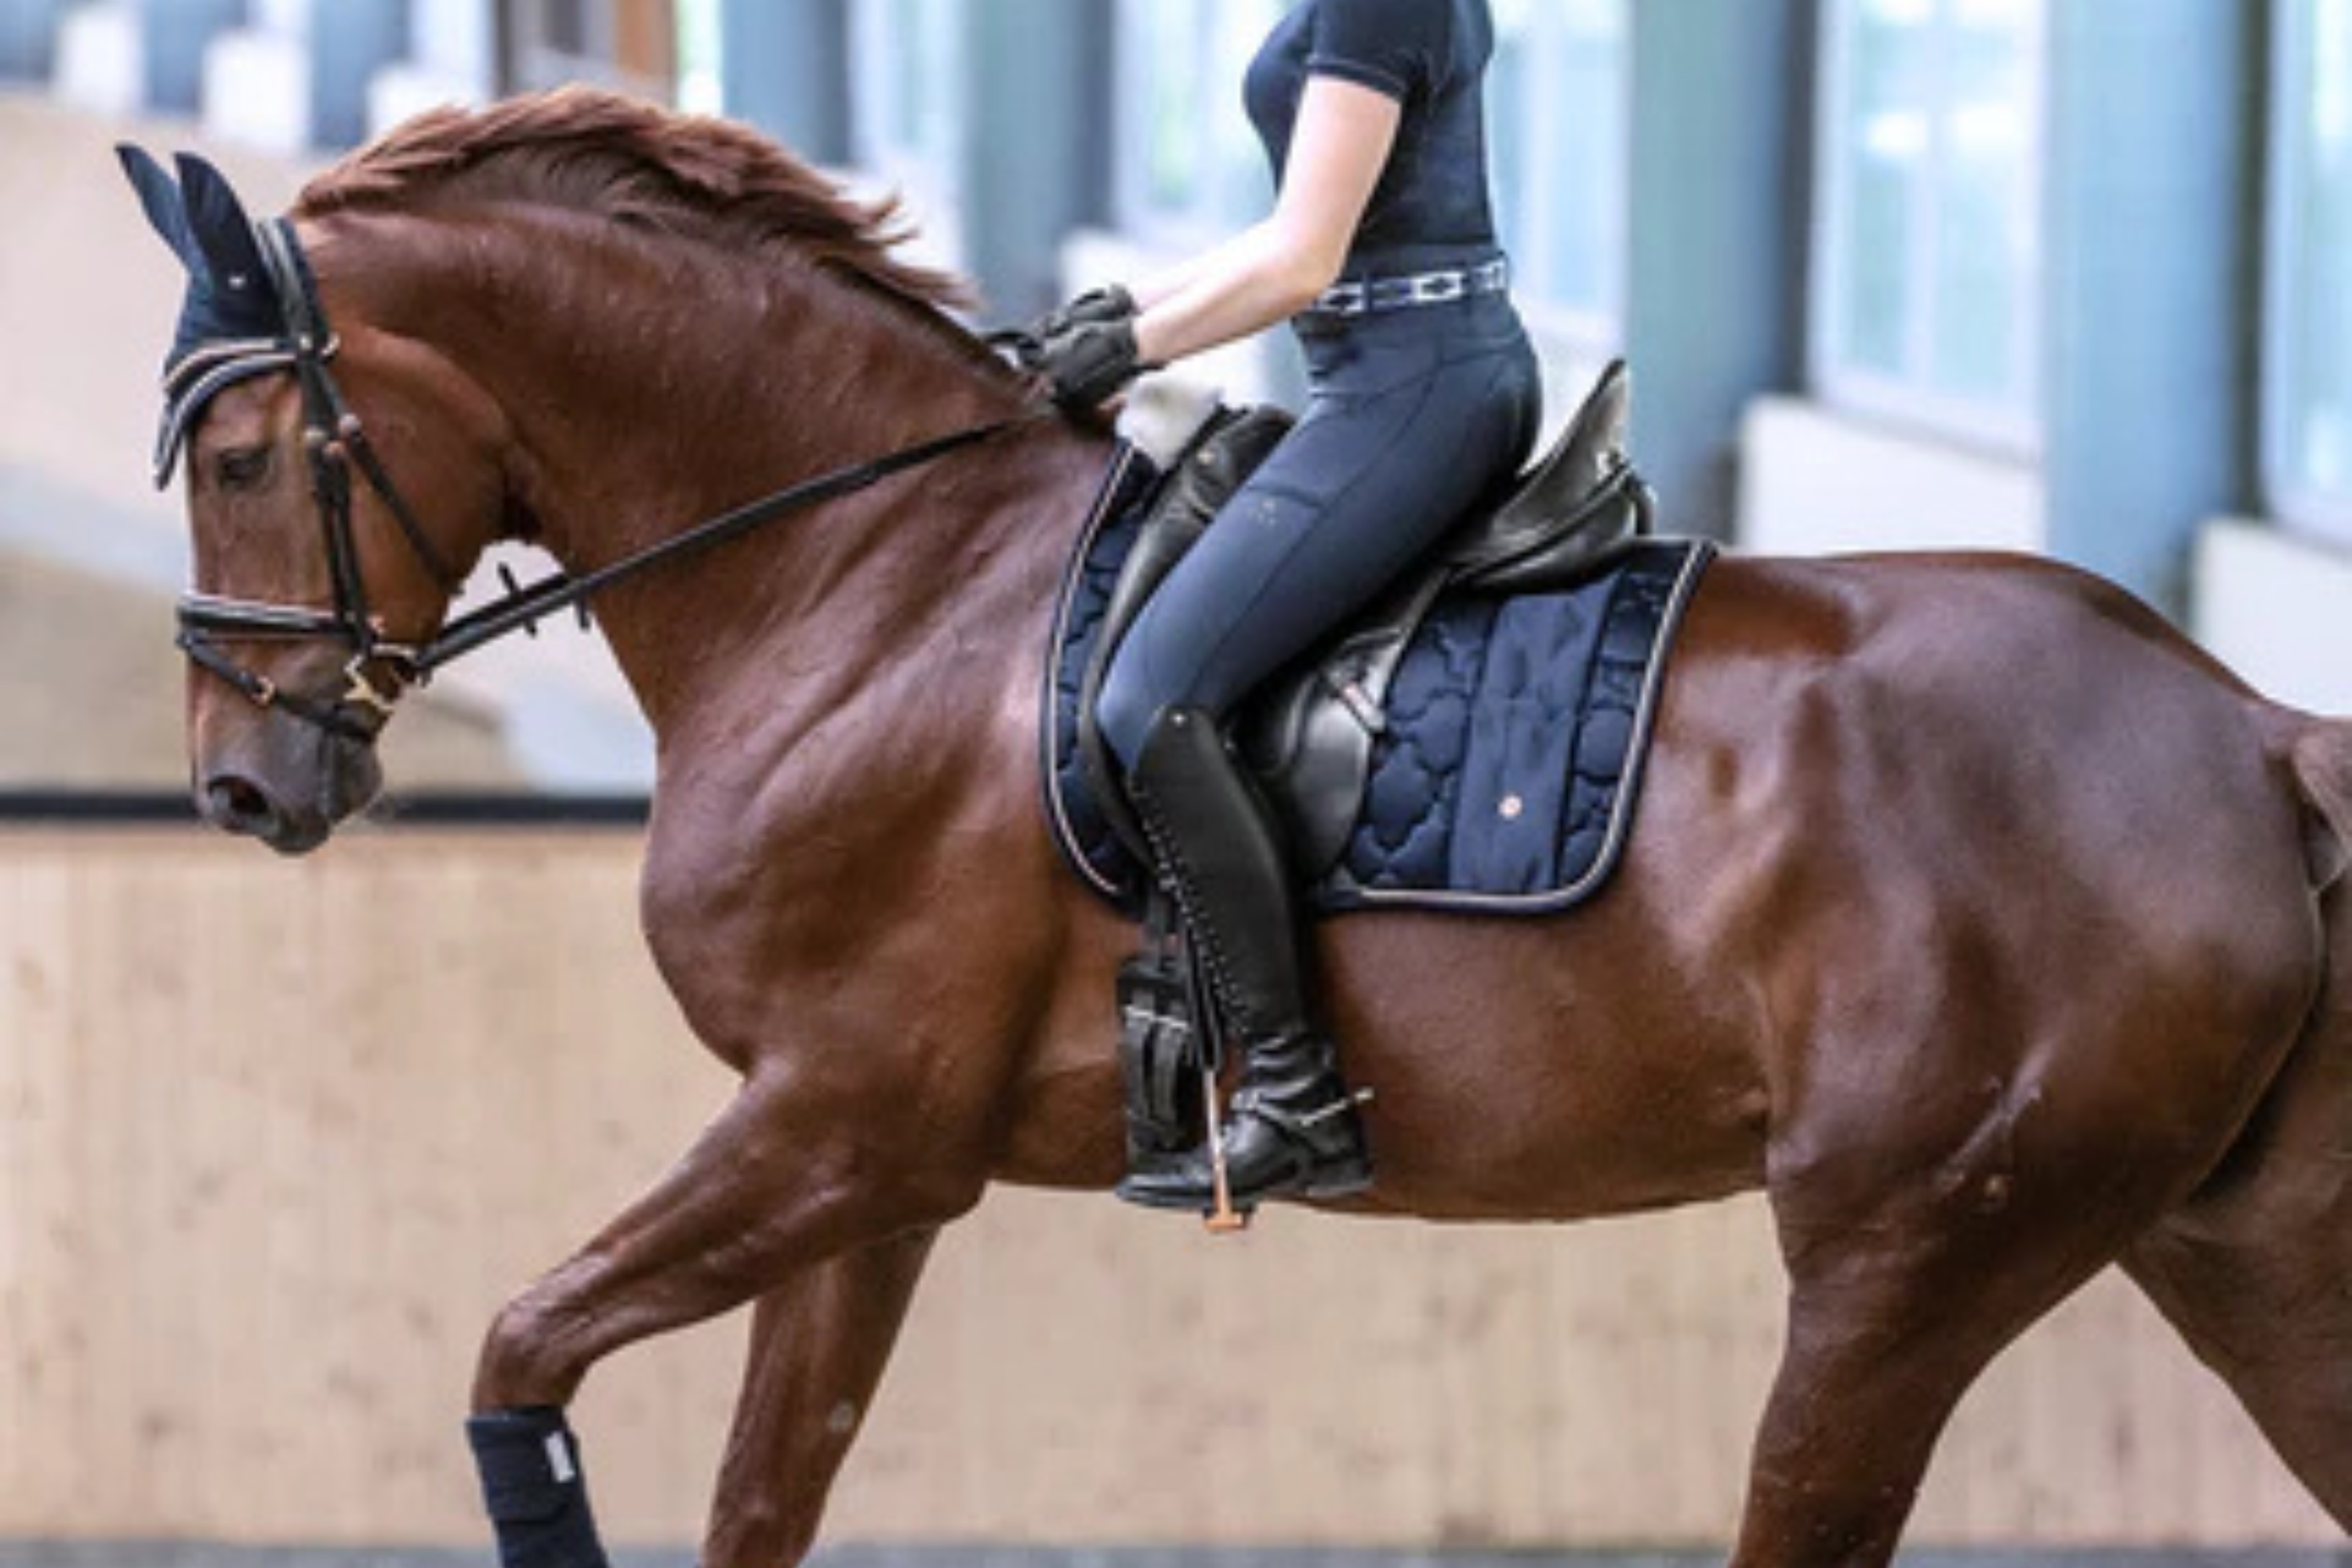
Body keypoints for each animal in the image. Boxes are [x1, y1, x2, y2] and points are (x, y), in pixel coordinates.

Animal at [122, 90, 2352, 1566]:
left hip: (1902, 1265)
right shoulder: (869, 1179)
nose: (246, 783)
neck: (867, 578)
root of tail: (2245, 730)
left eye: (238, 455)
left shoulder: (831, 1123)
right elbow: (765, 1486)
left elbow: (520, 1354)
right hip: (2230, 1253)